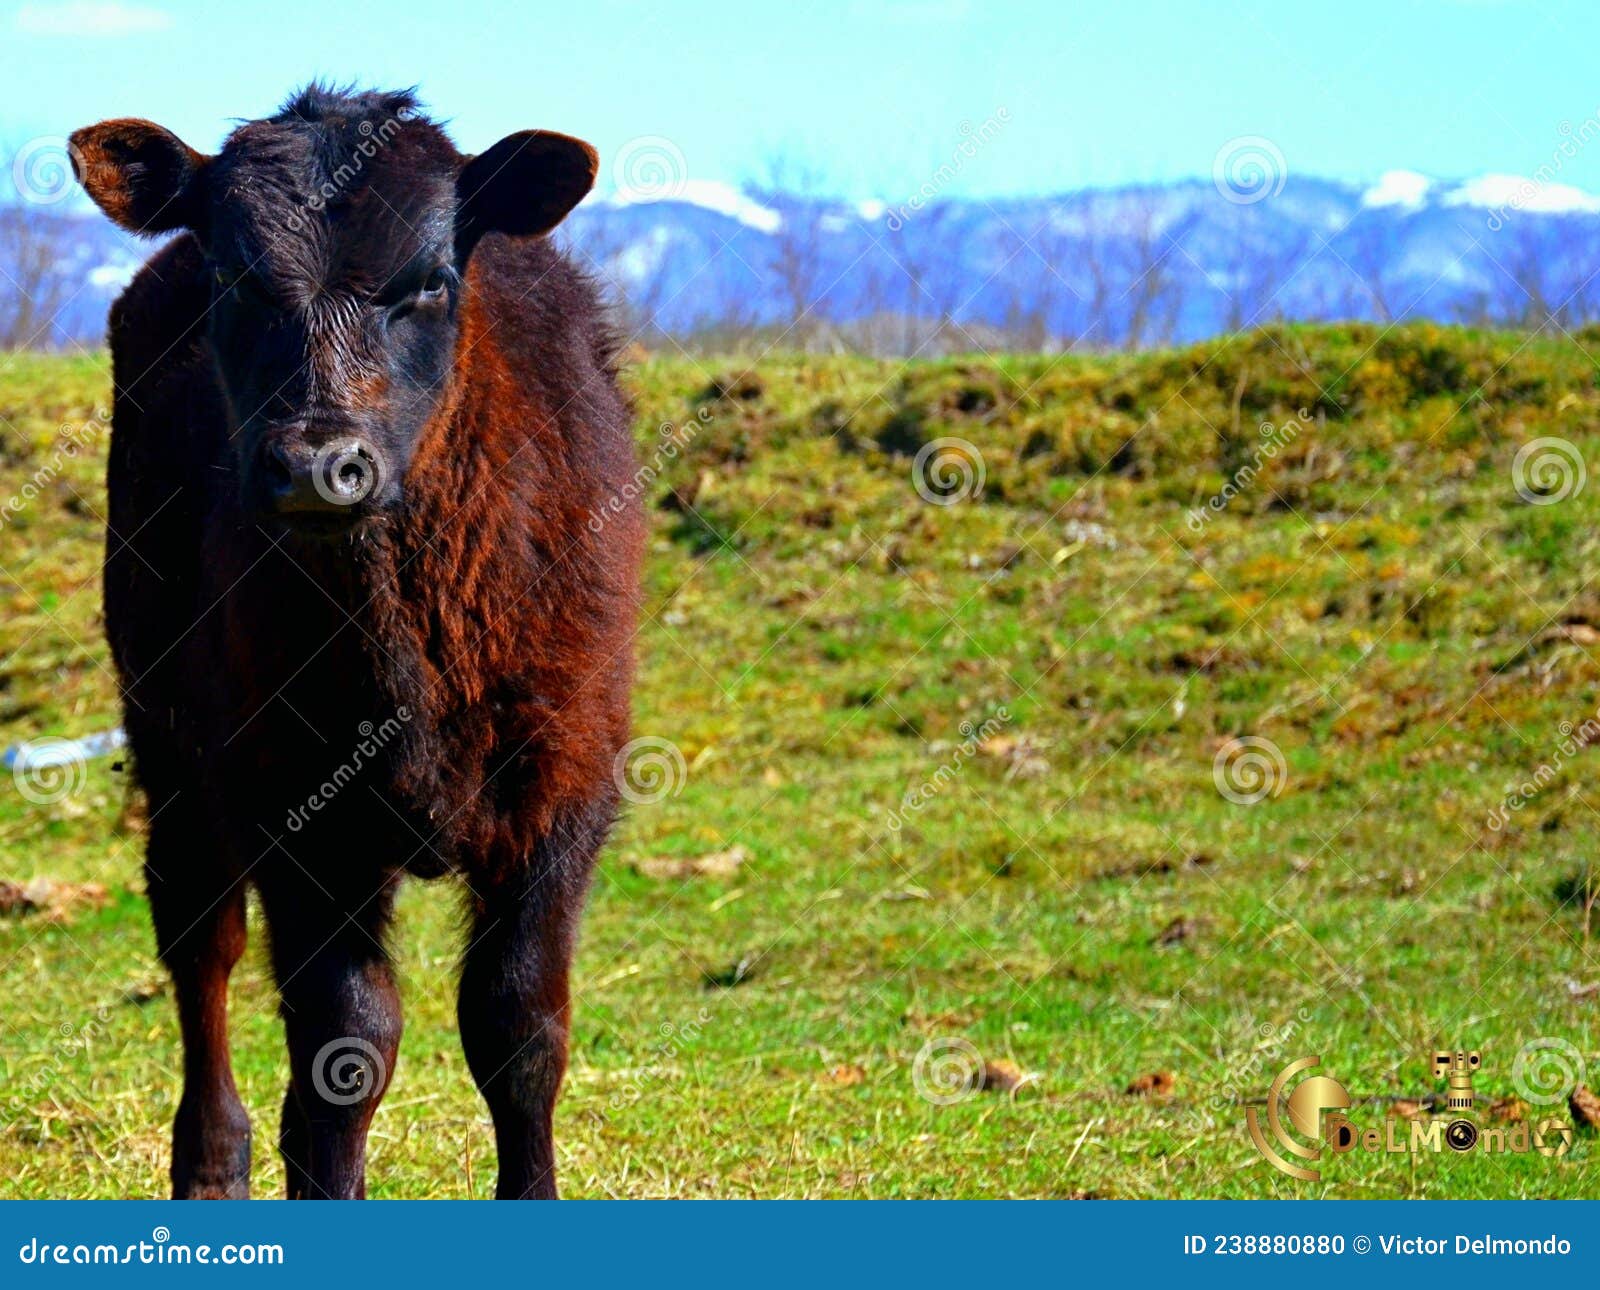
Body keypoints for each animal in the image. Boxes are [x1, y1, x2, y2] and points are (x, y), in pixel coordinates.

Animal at [70, 85, 643, 1199]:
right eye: (235, 278)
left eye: (426, 282)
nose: (316, 465)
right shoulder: (293, 798)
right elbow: (347, 1045)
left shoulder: (566, 778)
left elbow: (519, 1027)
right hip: (167, 742)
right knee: (200, 938)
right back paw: (211, 1162)